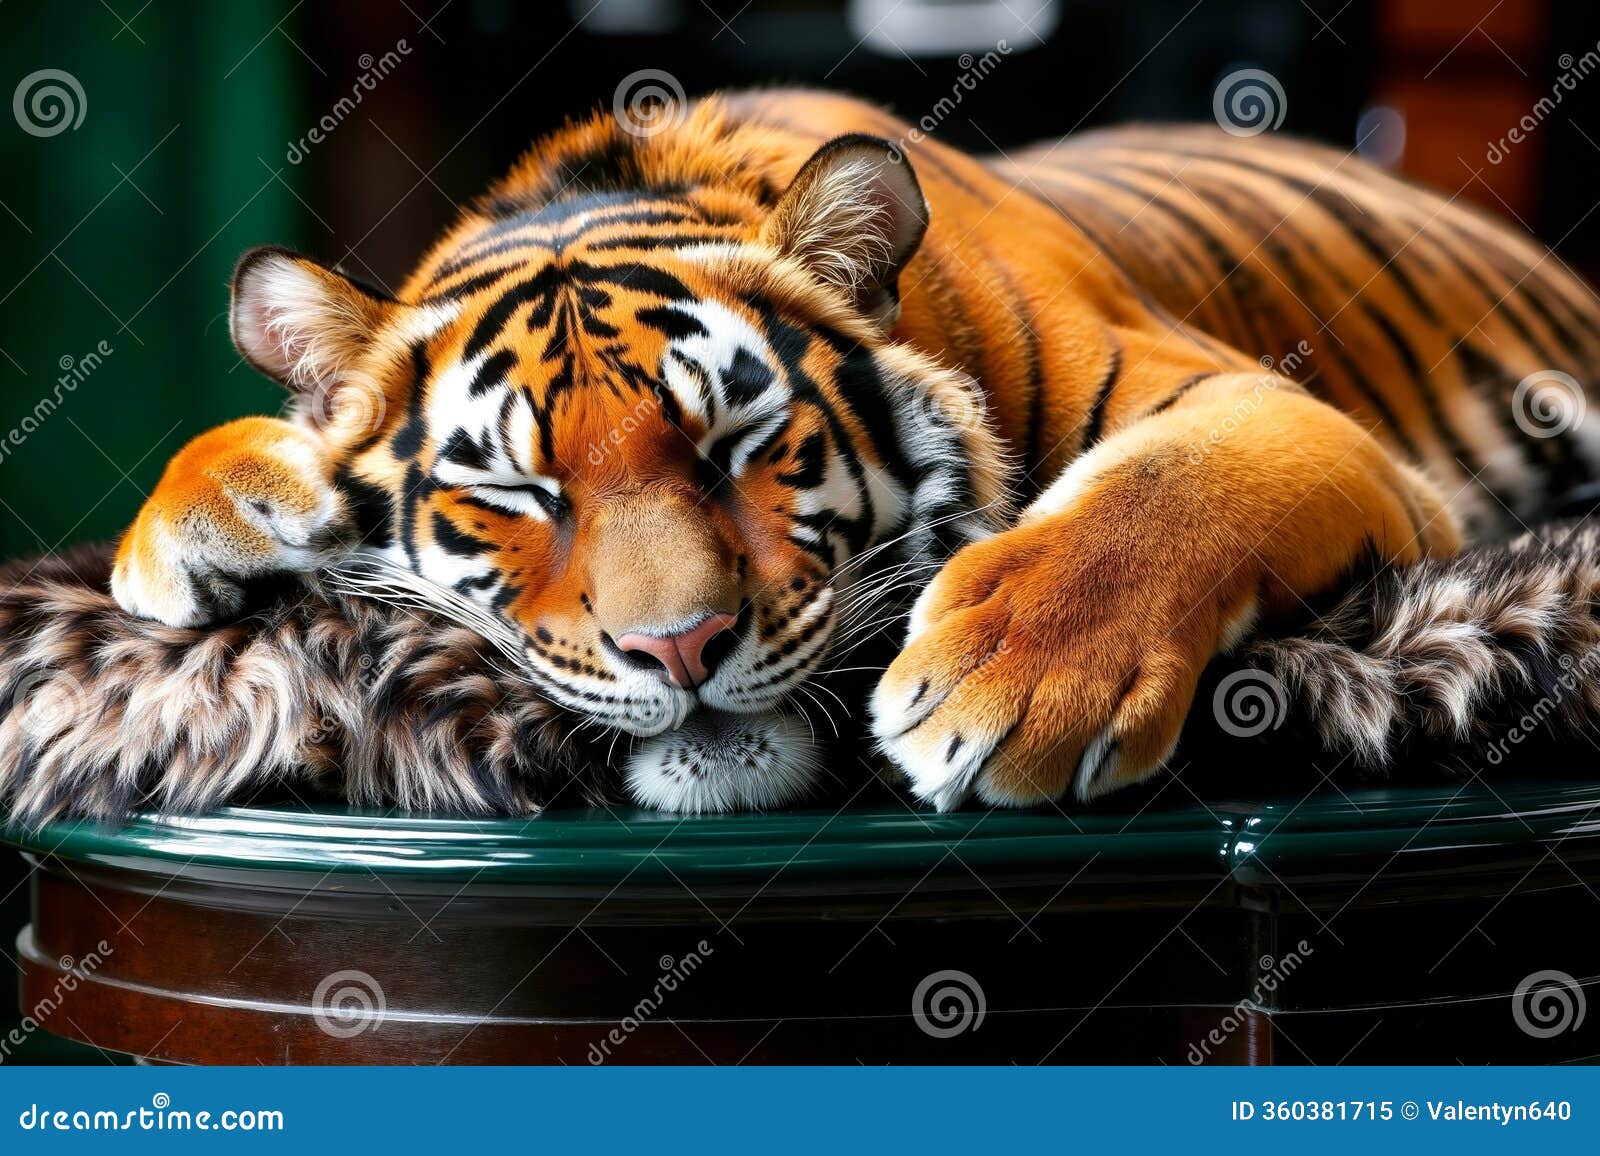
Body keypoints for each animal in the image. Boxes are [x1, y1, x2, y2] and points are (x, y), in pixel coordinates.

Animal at [110, 89, 1600, 814]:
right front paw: (205, 523)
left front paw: (1009, 685)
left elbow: (1169, 487)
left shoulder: (1261, 405)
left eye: (736, 443)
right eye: (520, 493)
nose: (679, 651)